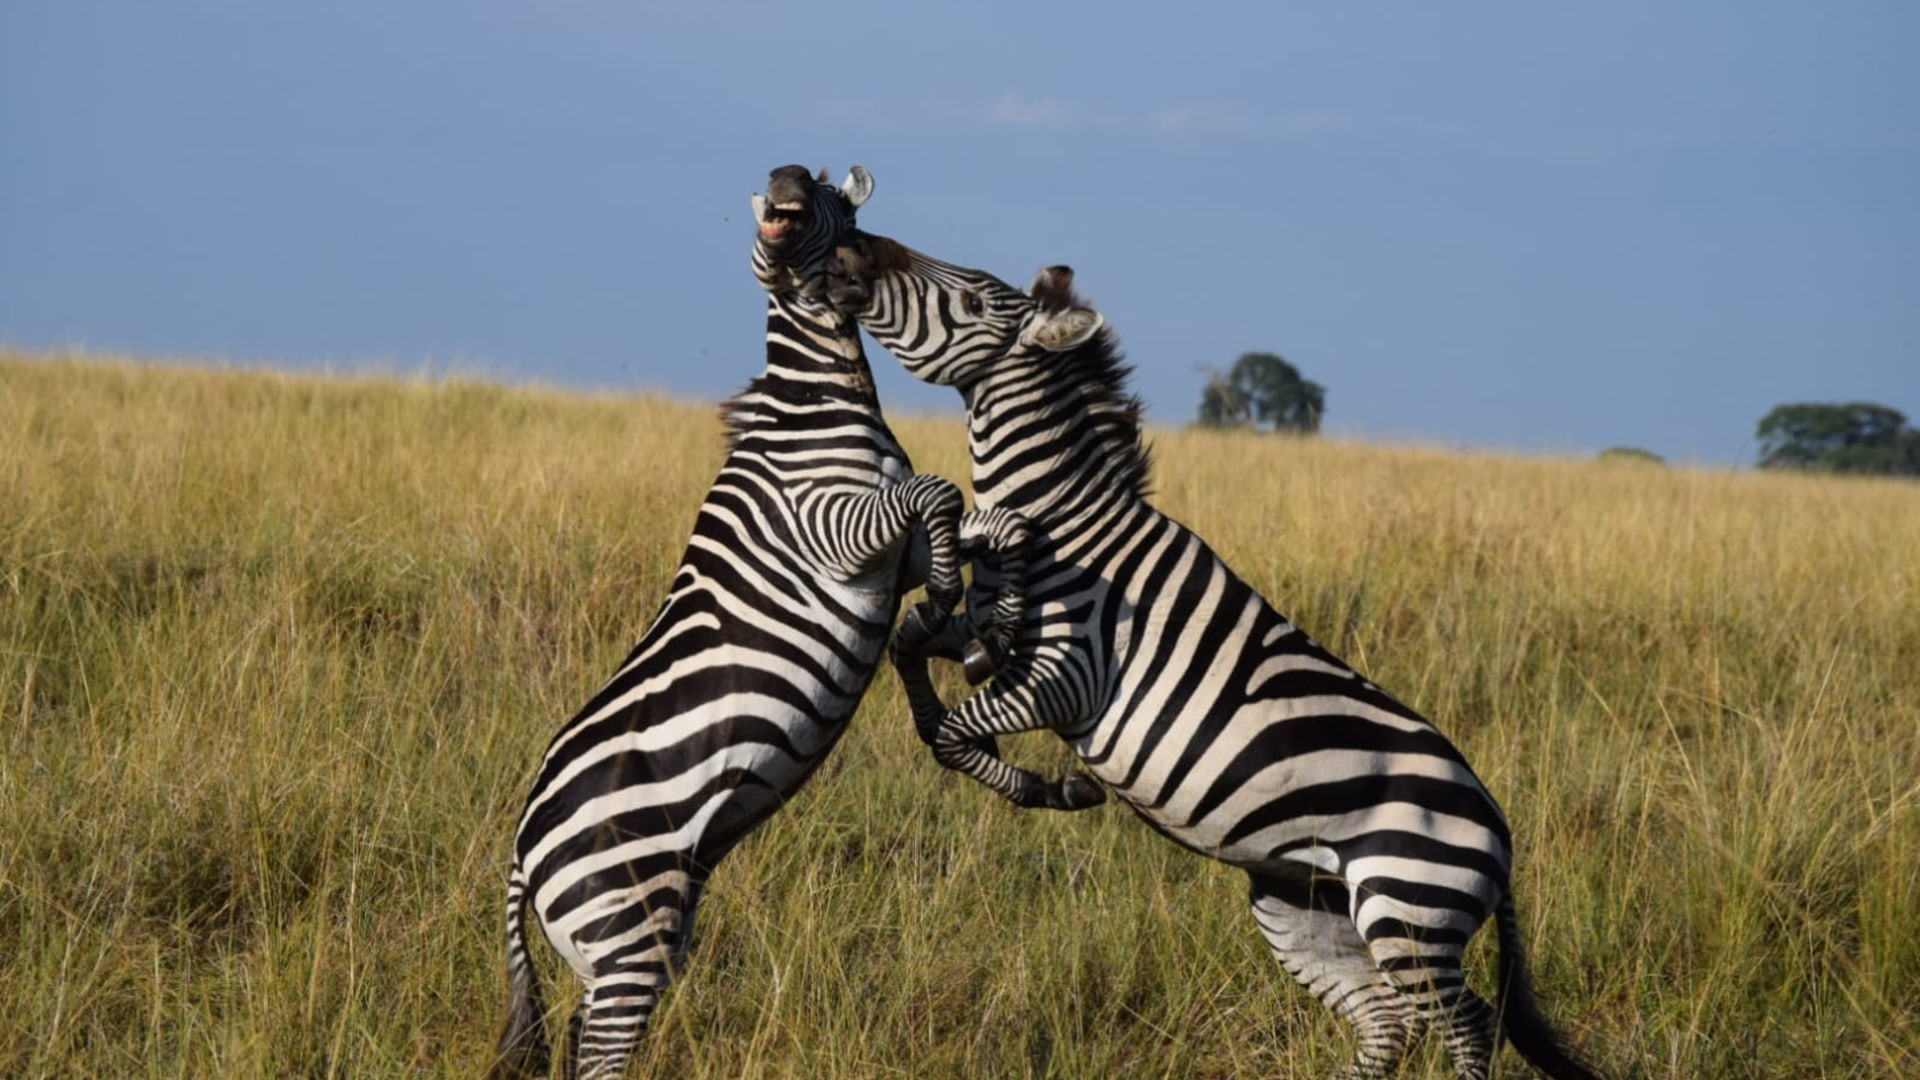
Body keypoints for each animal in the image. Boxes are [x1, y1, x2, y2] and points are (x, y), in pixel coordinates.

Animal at [486, 166, 975, 1080]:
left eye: (825, 195)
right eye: (785, 192)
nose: (785, 178)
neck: (819, 405)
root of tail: (523, 853)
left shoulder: (886, 548)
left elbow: (950, 511)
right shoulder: (835, 530)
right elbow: (938, 491)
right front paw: (949, 594)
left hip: (623, 939)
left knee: (577, 1038)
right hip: (630, 927)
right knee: (598, 1054)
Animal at [823, 233, 1608, 1080]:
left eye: (969, 298)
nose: (854, 251)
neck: (1064, 524)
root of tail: (1501, 832)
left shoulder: (1065, 677)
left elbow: (951, 734)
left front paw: (1052, 788)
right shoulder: (978, 625)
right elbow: (910, 651)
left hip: (1410, 911)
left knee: (1467, 1023)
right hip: (1302, 905)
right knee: (1386, 1023)